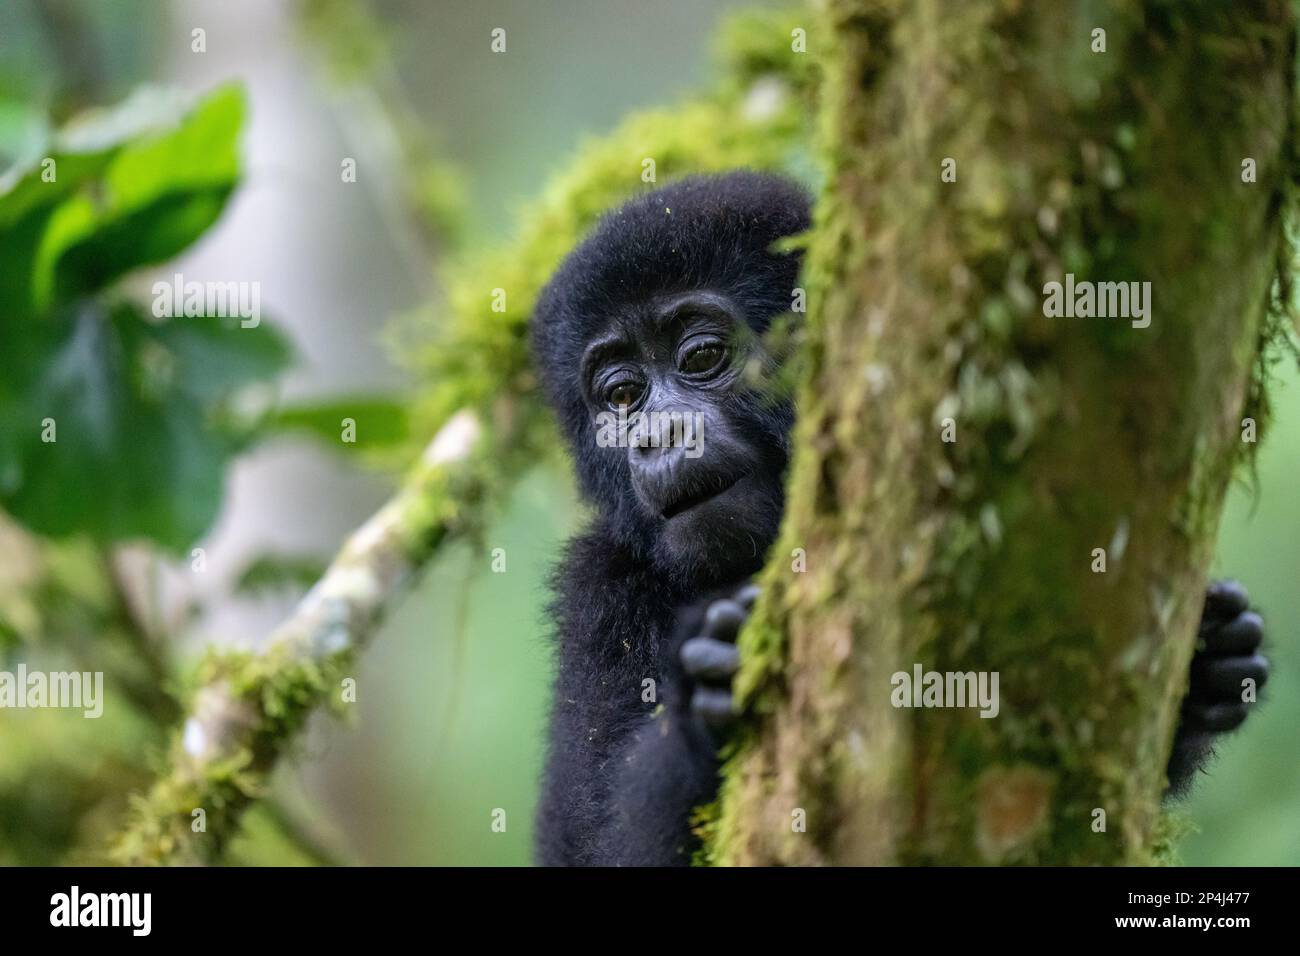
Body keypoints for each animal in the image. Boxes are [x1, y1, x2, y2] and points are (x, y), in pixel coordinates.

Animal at [528, 170, 1270, 866]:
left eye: (702, 356)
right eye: (622, 396)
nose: (657, 435)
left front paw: (1207, 660)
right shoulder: (599, 590)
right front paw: (701, 700)